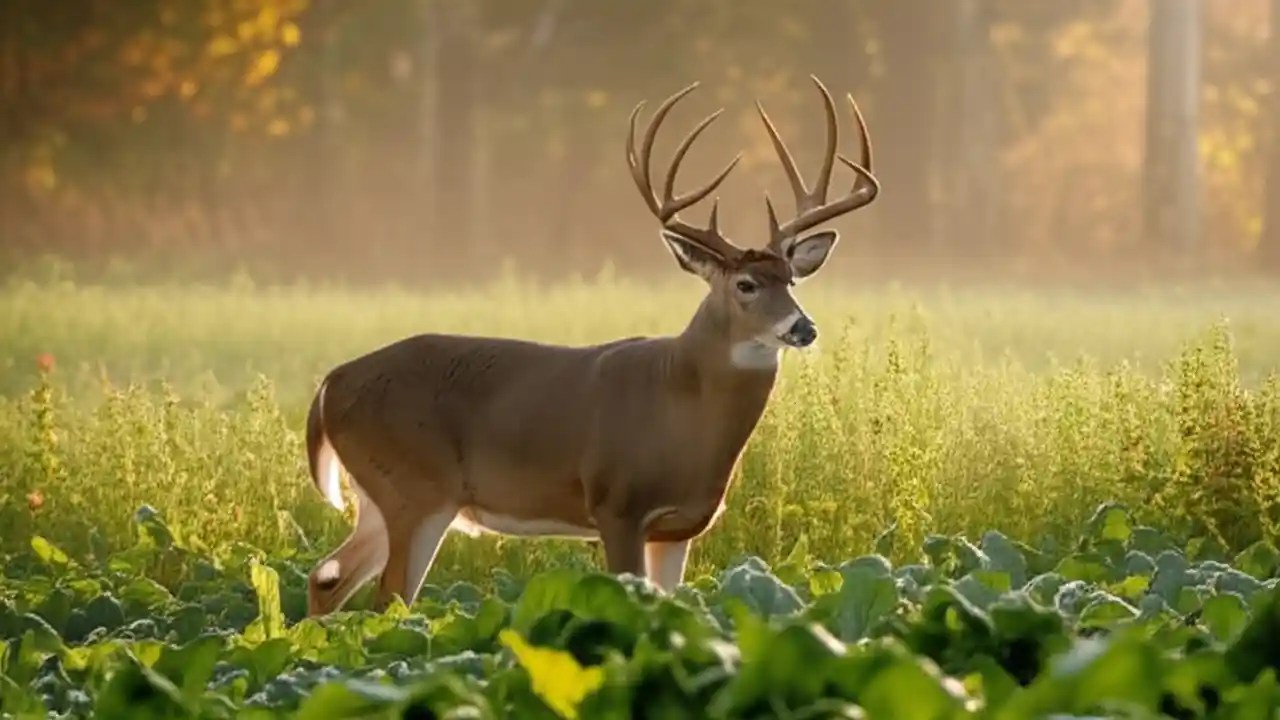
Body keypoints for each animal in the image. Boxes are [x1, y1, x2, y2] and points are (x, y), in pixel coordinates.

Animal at [302, 75, 879, 616]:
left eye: (791, 280)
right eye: (746, 285)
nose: (803, 328)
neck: (681, 404)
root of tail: (330, 383)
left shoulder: (678, 527)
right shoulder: (616, 503)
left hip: (381, 495)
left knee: (327, 579)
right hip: (416, 488)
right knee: (389, 599)